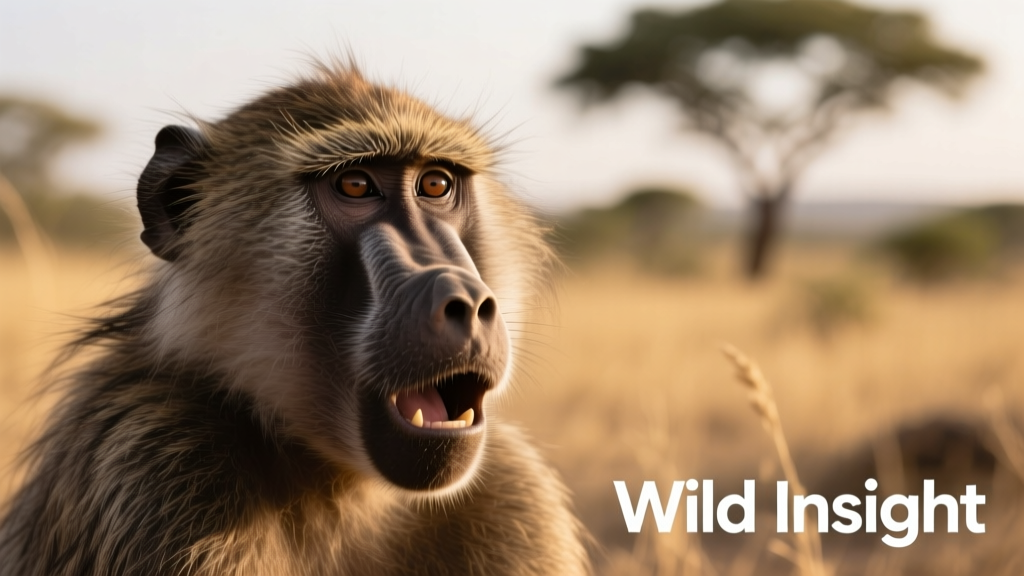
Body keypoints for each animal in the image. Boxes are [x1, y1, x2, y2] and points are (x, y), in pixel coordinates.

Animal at [0, 63, 591, 576]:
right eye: (355, 186)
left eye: (436, 185)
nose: (464, 301)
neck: (341, 489)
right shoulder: (150, 465)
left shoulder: (513, 491)